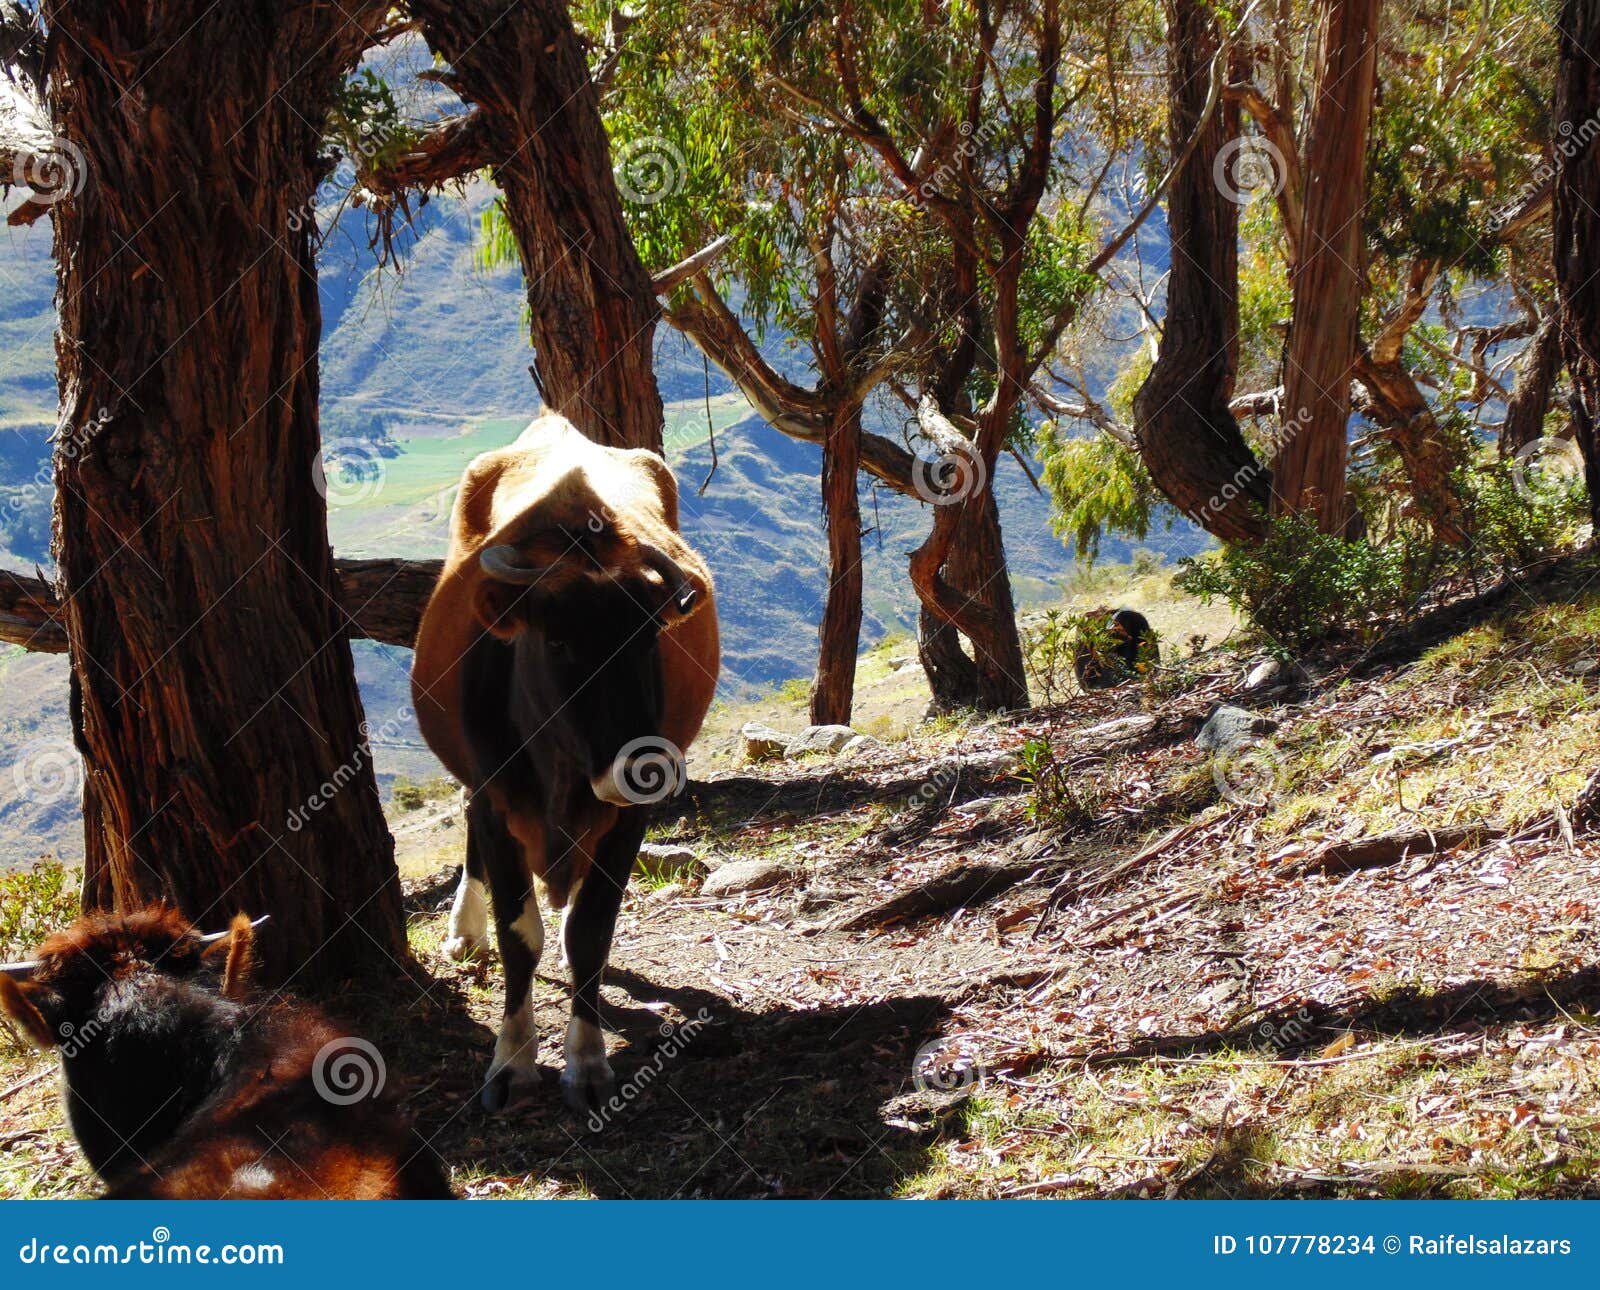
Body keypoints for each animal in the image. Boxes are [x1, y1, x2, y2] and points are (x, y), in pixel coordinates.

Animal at [411, 414, 719, 1115]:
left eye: (649, 639)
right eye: (557, 642)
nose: (647, 766)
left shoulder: (628, 818)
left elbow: (590, 930)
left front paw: (587, 1060)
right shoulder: (498, 796)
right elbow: (520, 933)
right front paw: (512, 1062)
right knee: (467, 822)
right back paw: (464, 928)